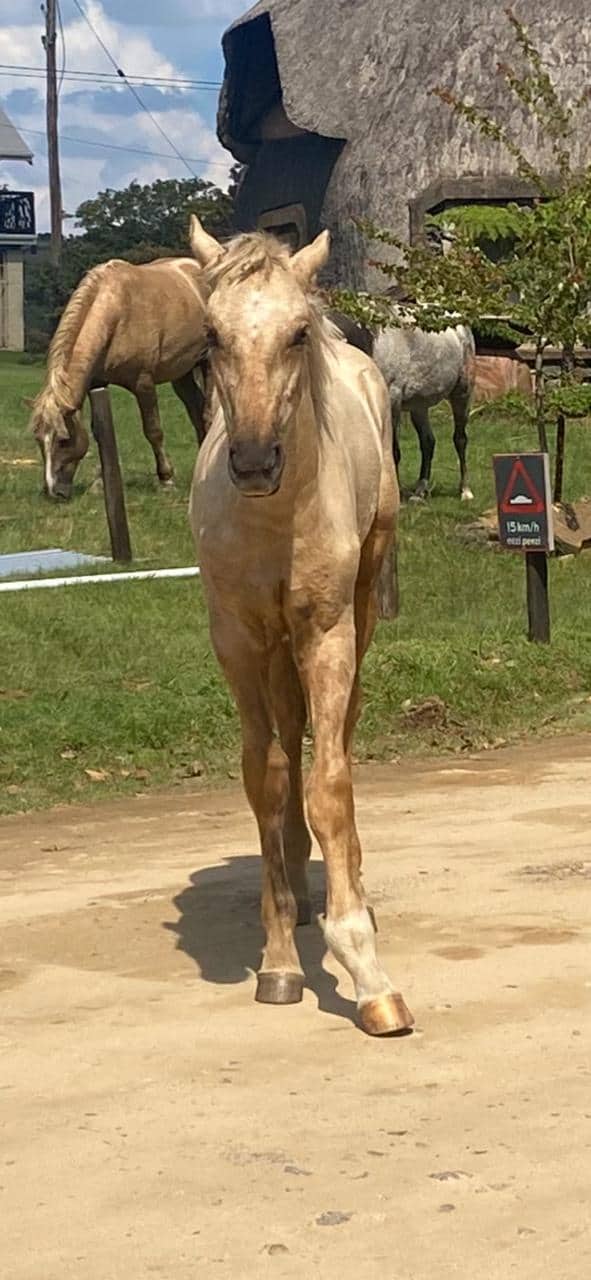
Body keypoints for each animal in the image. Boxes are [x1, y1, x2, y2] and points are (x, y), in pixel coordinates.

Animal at [29, 256, 208, 500]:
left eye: (64, 440)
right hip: (182, 374)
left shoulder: (144, 383)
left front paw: (166, 479)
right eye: (39, 439)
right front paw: (99, 484)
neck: (117, 313)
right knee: (196, 410)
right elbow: (100, 434)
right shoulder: (97, 384)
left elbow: (153, 431)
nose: (53, 491)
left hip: (206, 363)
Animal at [188, 214, 413, 1037]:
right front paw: (281, 957)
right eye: (211, 335)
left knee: (336, 738)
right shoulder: (239, 639)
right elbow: (268, 777)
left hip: (360, 612)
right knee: (289, 747)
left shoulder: (325, 633)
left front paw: (368, 970)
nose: (255, 462)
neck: (273, 520)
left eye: (294, 334)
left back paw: (352, 892)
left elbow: (330, 783)